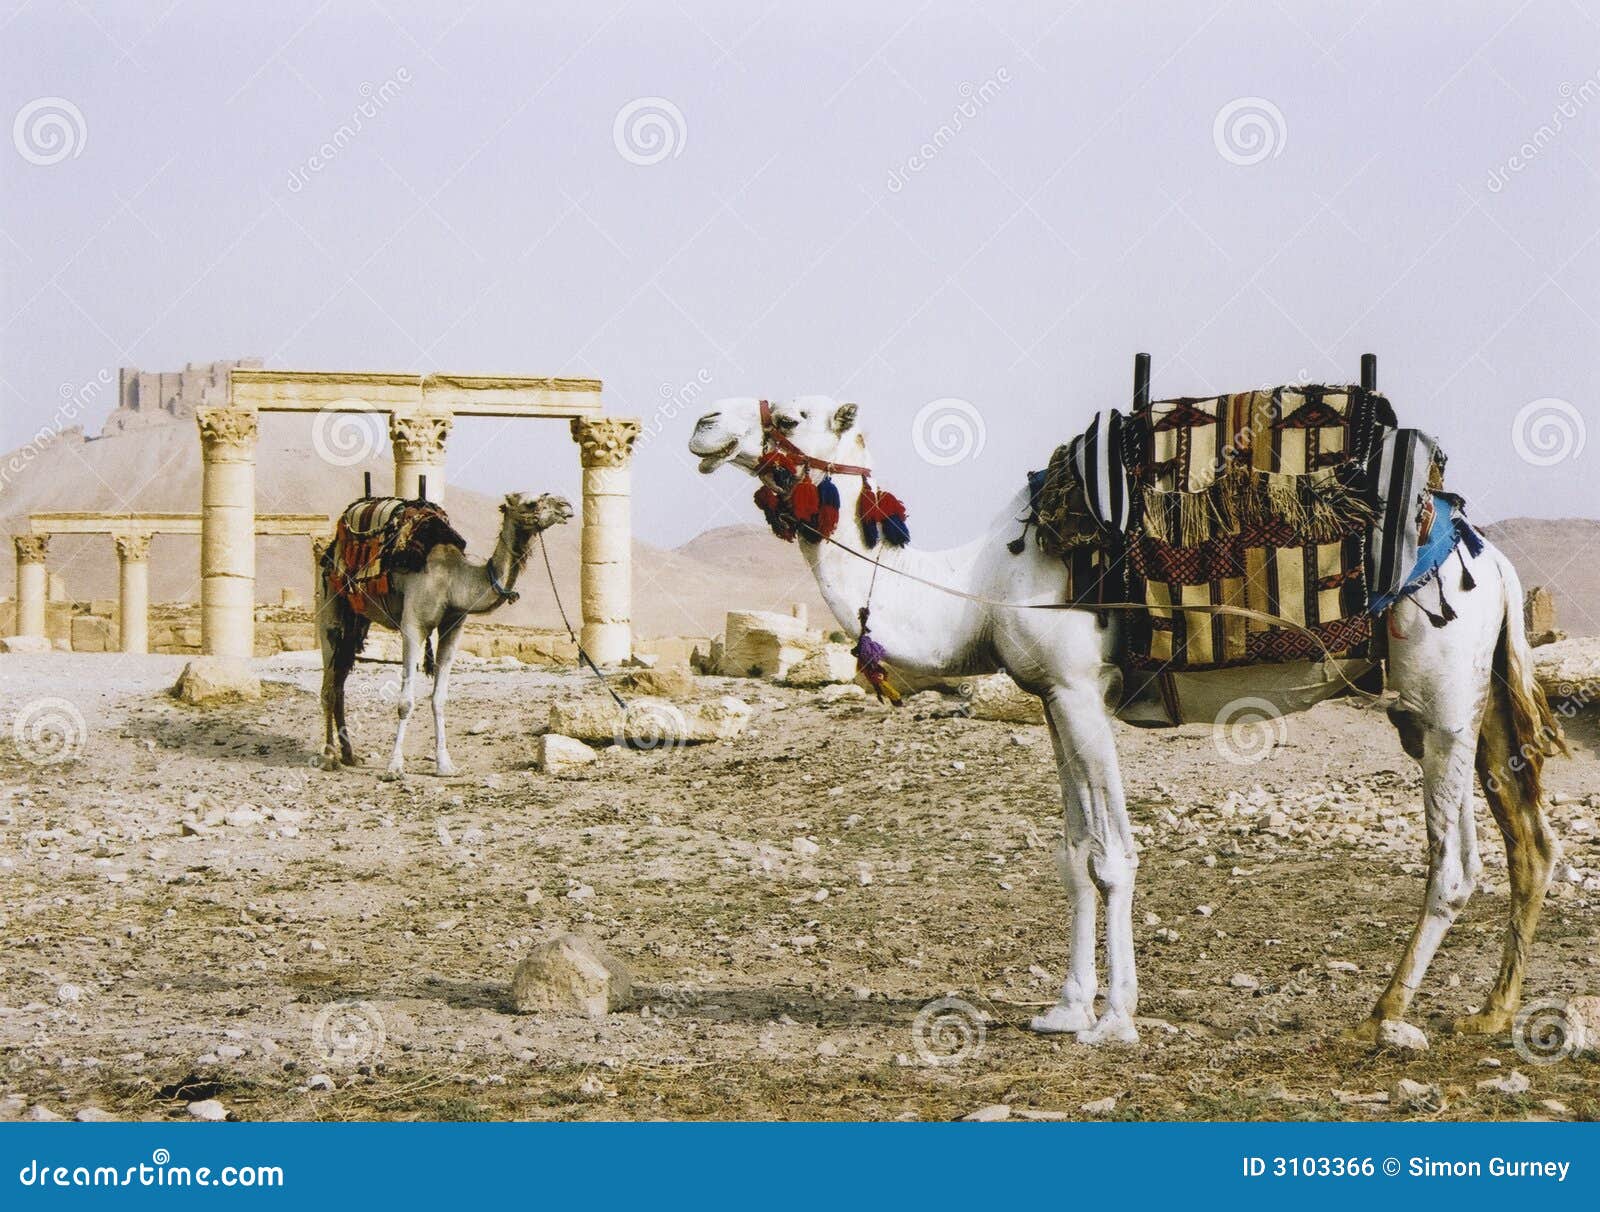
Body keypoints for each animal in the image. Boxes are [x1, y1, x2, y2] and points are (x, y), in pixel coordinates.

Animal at [319, 492, 573, 778]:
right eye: (530, 502)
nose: (566, 505)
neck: (452, 580)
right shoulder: (412, 625)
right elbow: (405, 702)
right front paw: (394, 767)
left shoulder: (454, 626)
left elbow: (439, 699)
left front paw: (445, 765)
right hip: (330, 603)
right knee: (328, 686)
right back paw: (329, 757)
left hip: (357, 620)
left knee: (339, 681)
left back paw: (350, 755)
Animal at [689, 395, 1564, 1046]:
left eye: (789, 414)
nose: (703, 423)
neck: (981, 582)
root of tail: (1492, 563)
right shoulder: (1053, 696)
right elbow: (1073, 855)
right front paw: (1065, 1008)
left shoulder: (1081, 689)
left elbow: (1112, 857)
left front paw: (1114, 1019)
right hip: (1468, 701)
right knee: (1528, 841)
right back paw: (1492, 1014)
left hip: (1440, 694)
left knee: (1455, 863)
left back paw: (1383, 1015)